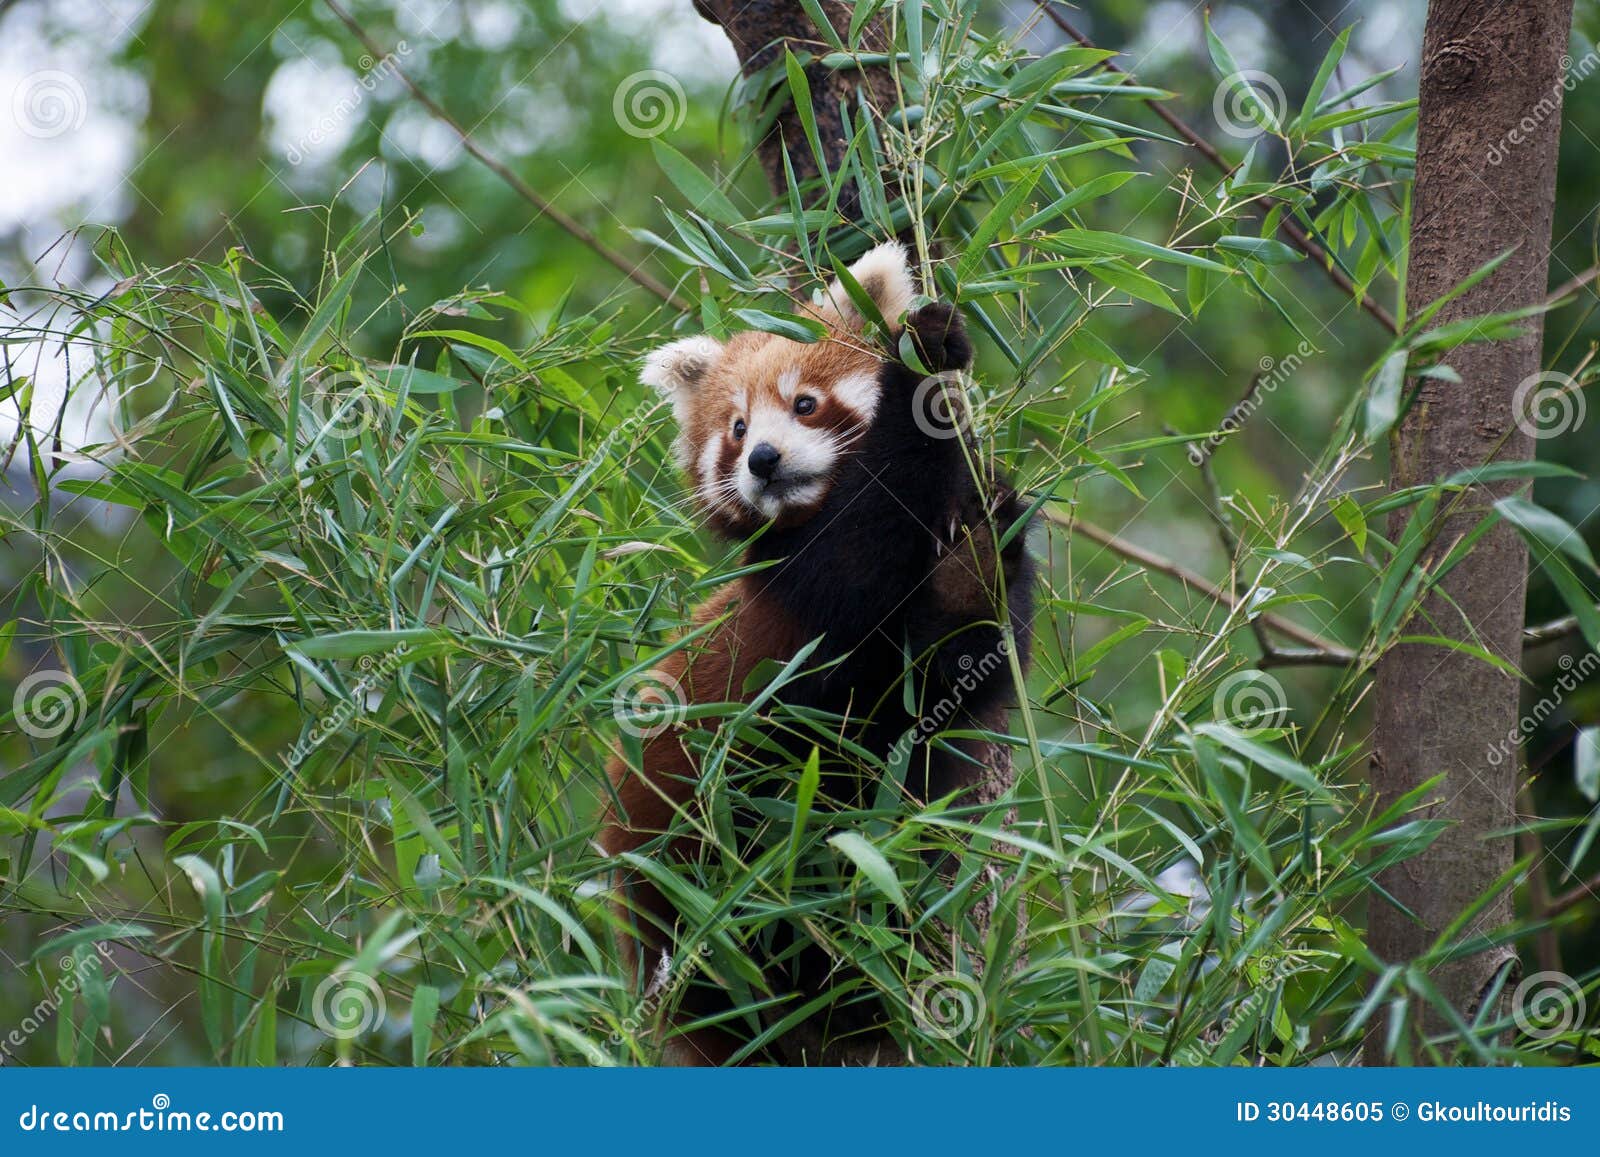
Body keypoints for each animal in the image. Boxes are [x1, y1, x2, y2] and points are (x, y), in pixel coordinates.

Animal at [601, 242, 1035, 1064]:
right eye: (737, 429)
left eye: (805, 404)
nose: (765, 460)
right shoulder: (808, 591)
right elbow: (870, 542)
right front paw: (919, 365)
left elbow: (965, 655)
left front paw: (978, 547)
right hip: (693, 864)